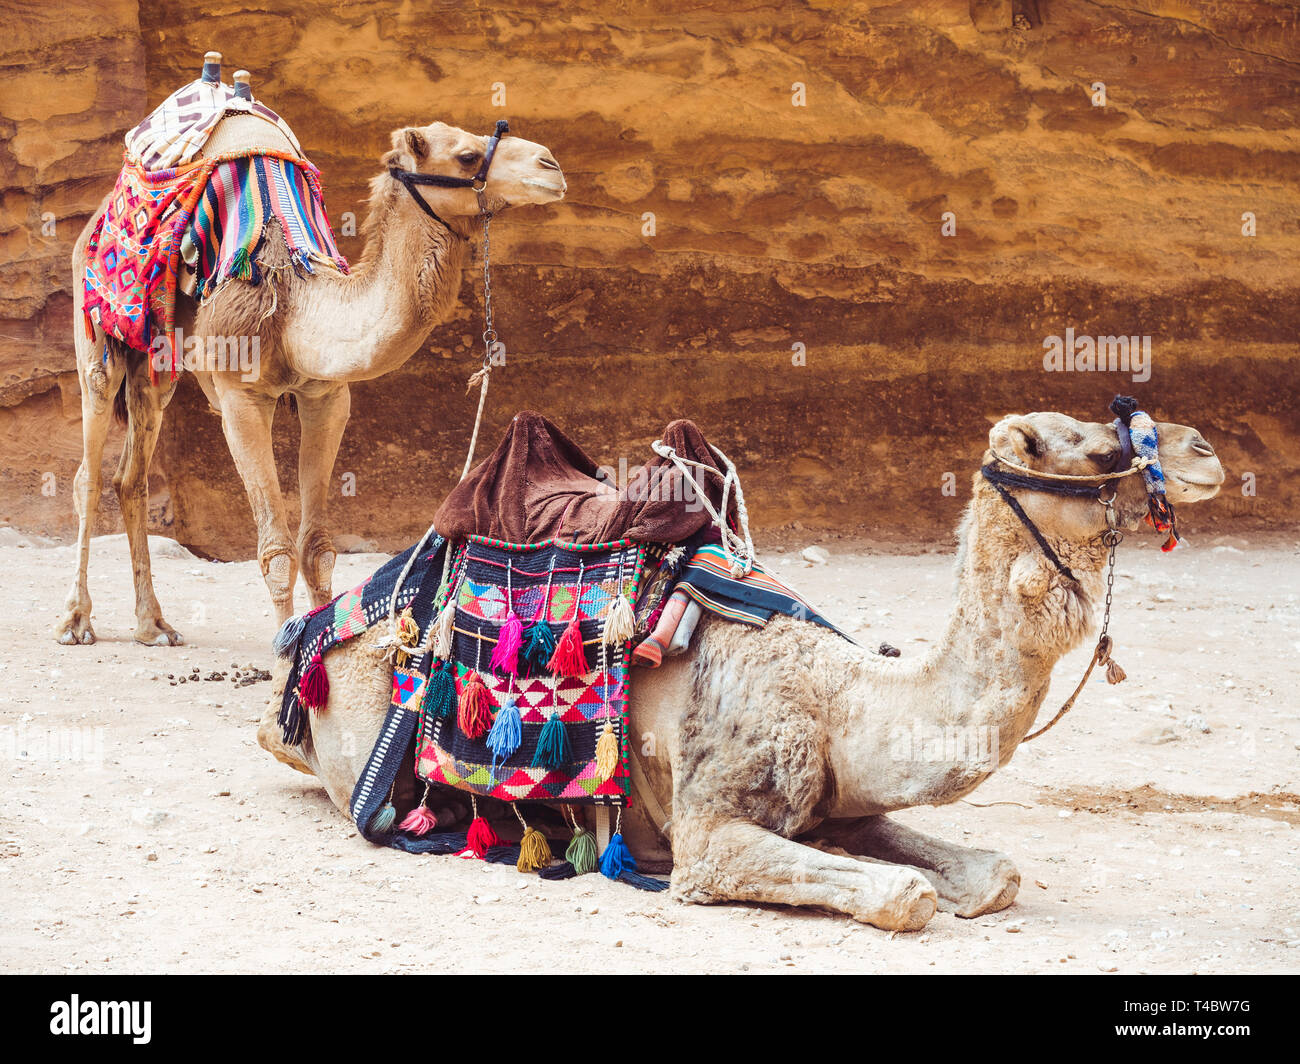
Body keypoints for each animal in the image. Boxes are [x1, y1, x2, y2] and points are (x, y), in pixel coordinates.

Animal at [56, 107, 565, 646]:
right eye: (466, 155)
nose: (551, 165)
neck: (295, 307)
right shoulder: (239, 399)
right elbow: (276, 549)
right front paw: (284, 649)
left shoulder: (328, 396)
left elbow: (318, 548)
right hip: (98, 334)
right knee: (88, 469)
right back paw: (76, 620)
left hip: (158, 363)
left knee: (130, 474)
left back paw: (153, 624)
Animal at [257, 409, 1224, 930]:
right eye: (1093, 446)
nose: (1205, 449)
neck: (840, 697)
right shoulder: (708, 831)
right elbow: (905, 894)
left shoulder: (841, 797)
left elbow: (991, 874)